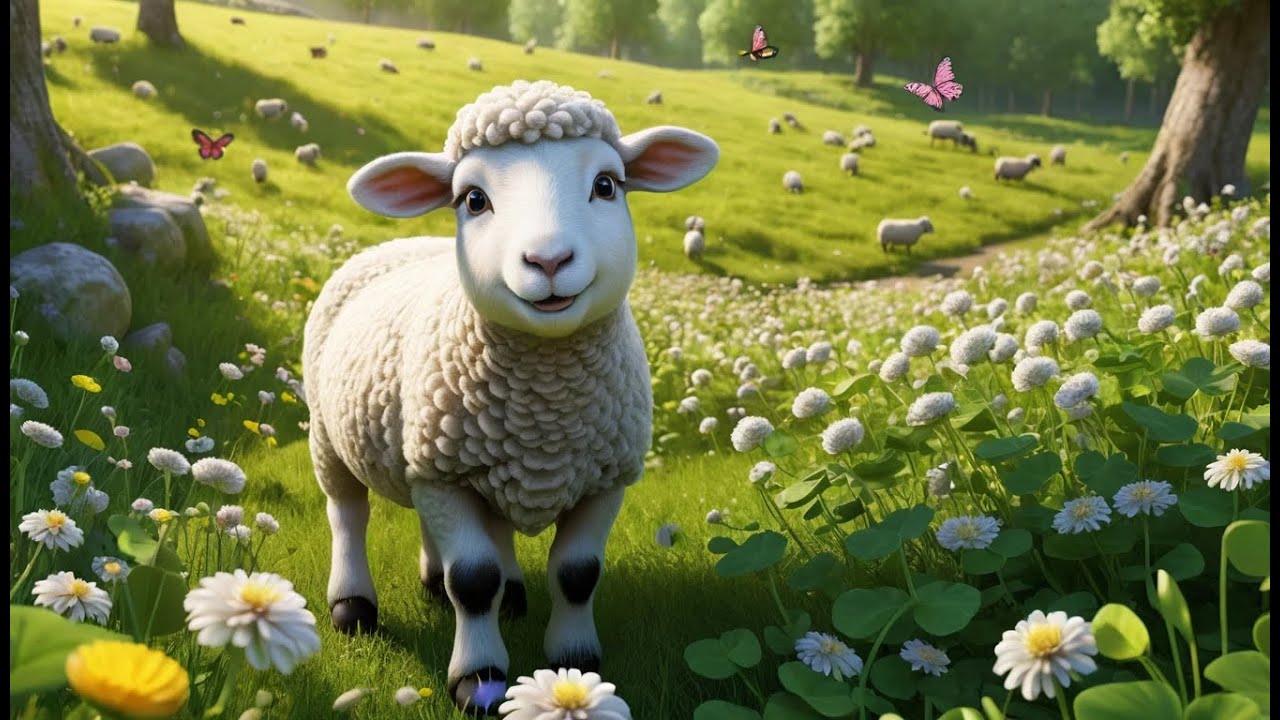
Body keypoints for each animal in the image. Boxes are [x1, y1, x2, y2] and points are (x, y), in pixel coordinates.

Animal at [310, 79, 718, 712]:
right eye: (473, 200)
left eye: (607, 185)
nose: (548, 260)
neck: (544, 402)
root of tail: (401, 242)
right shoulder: (444, 477)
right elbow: (473, 580)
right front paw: (477, 680)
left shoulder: (603, 478)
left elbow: (578, 572)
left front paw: (576, 661)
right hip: (333, 439)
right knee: (348, 514)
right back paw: (353, 606)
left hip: (448, 451)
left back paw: (478, 590)